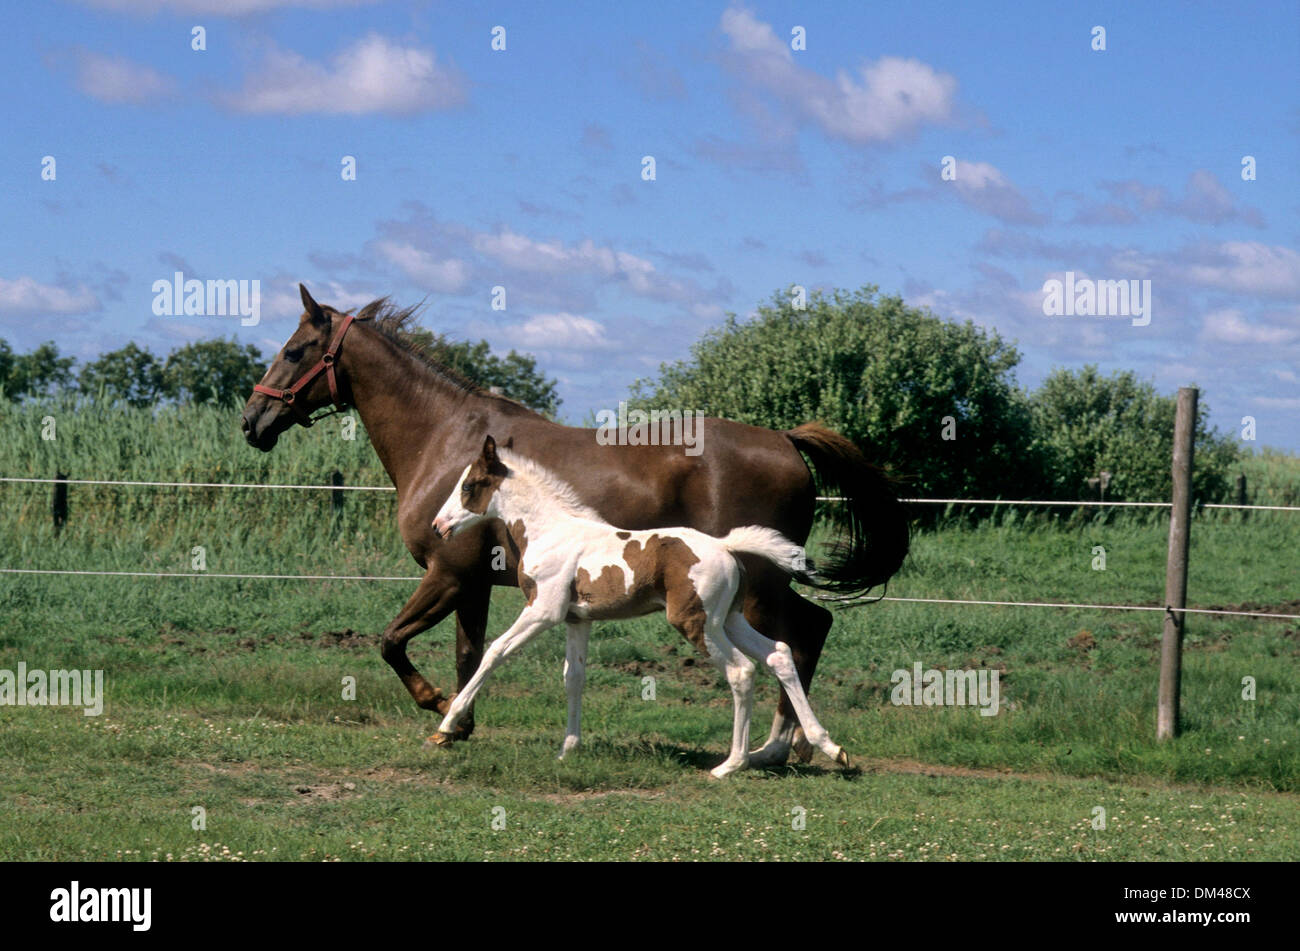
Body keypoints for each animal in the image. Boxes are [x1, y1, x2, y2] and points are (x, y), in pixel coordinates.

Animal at [430, 435, 851, 777]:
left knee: (742, 671)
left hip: (695, 623)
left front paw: (446, 726)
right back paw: (829, 747)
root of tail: (726, 546)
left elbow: (495, 652)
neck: (550, 532)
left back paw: (732, 764)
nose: (438, 526)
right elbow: (573, 677)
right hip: (728, 619)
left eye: (468, 485)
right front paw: (569, 748)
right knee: (778, 654)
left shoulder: (542, 611)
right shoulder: (576, 619)